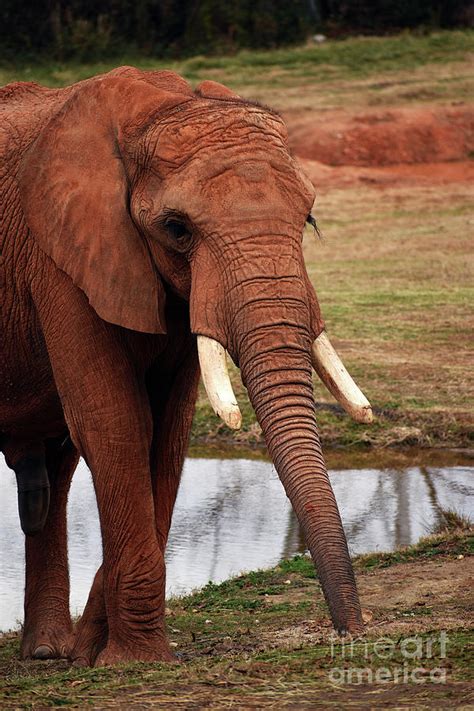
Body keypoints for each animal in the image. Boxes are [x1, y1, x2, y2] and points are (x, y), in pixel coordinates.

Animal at [0, 66, 373, 666]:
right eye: (176, 228)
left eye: (309, 217)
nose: (354, 633)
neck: (158, 107)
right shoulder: (60, 258)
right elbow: (113, 421)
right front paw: (136, 662)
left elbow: (168, 430)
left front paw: (101, 653)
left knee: (53, 468)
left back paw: (48, 653)